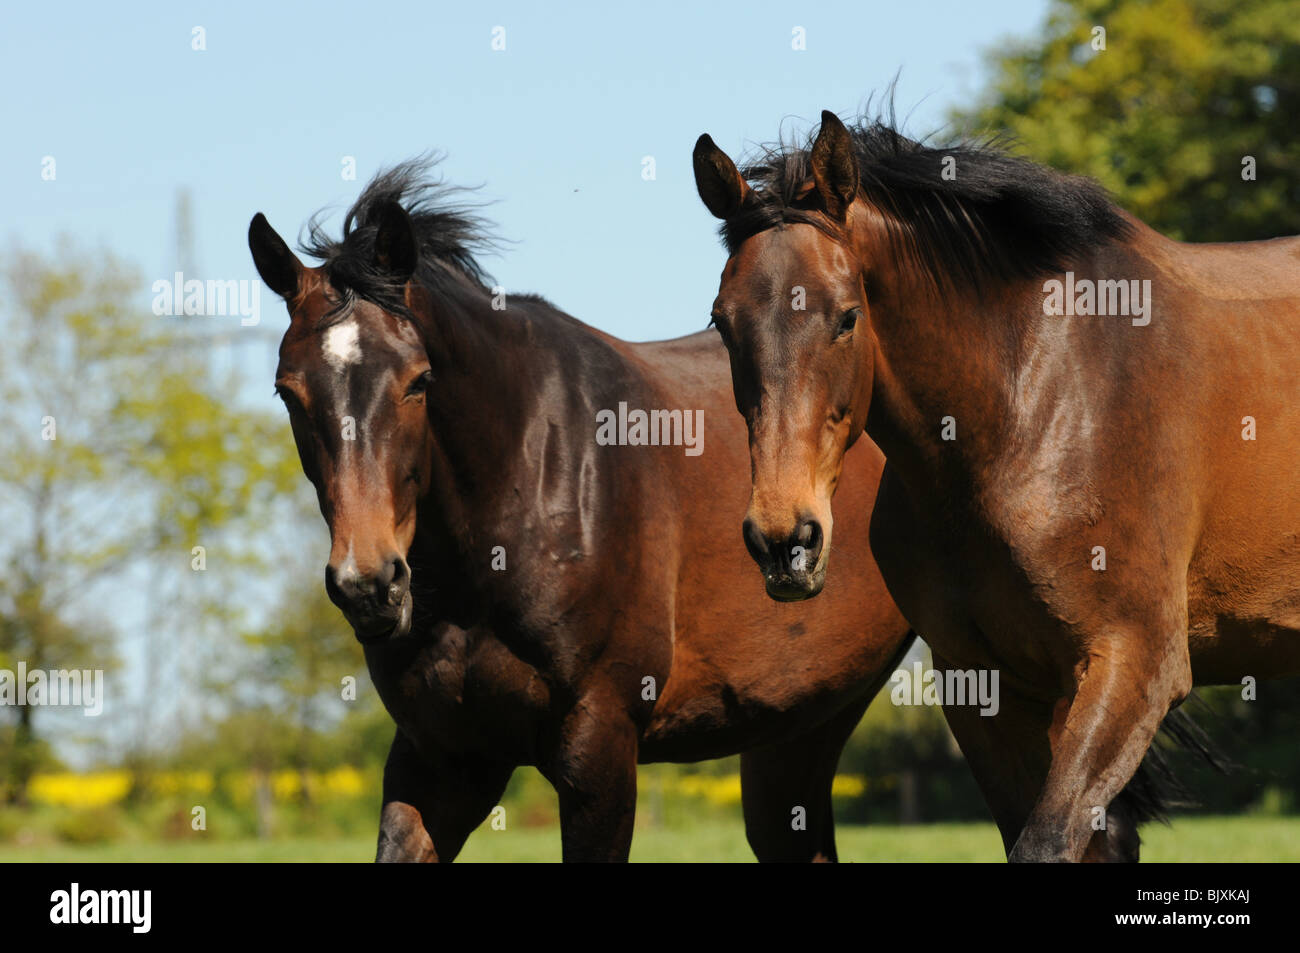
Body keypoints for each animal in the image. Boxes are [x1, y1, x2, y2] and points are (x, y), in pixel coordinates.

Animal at [247, 159, 913, 862]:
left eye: (418, 381)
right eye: (287, 392)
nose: (369, 585)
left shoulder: (599, 754)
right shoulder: (440, 761)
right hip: (798, 724)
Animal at [689, 109, 1268, 862]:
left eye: (847, 316)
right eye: (721, 321)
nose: (785, 541)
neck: (1040, 403)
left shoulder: (1132, 666)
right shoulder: (985, 685)